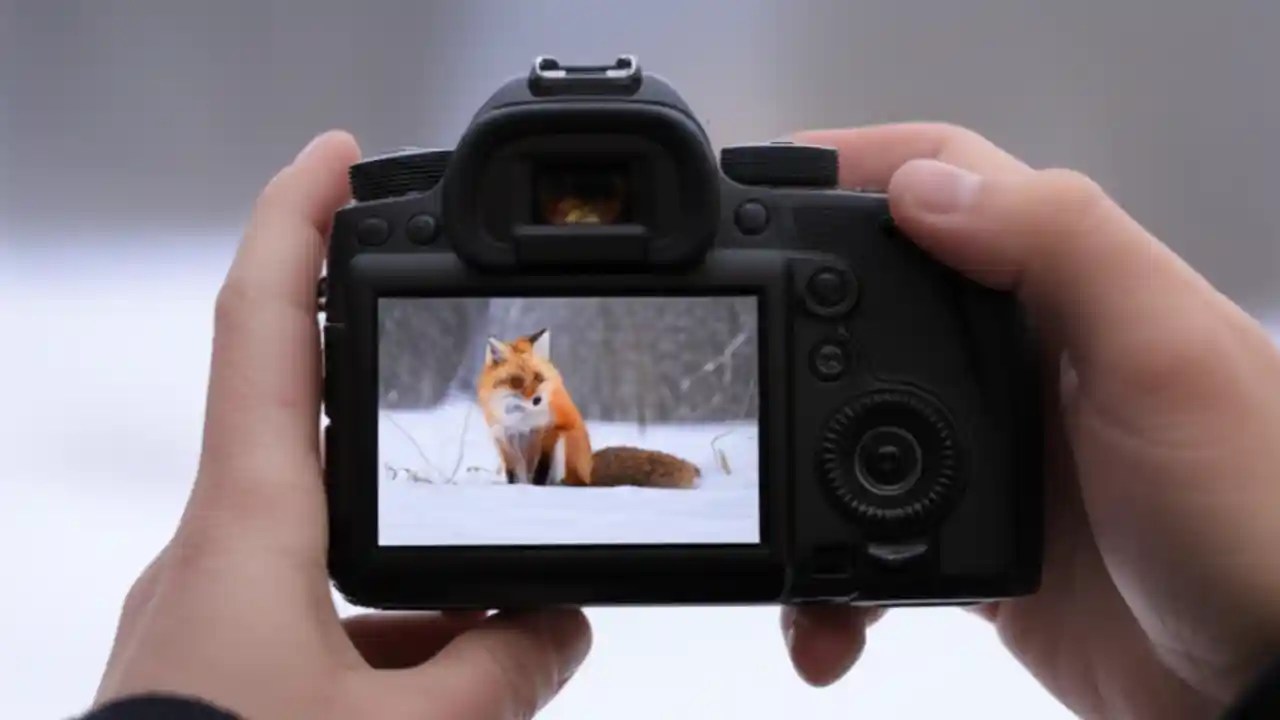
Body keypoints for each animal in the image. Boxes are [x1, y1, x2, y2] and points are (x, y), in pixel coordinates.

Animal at [477, 328, 701, 489]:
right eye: (516, 381)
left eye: (539, 378)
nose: (538, 400)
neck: (520, 420)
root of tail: (589, 470)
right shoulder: (504, 437)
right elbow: (514, 475)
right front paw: (516, 490)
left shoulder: (549, 430)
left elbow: (541, 469)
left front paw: (537, 489)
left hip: (567, 441)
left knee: (573, 482)